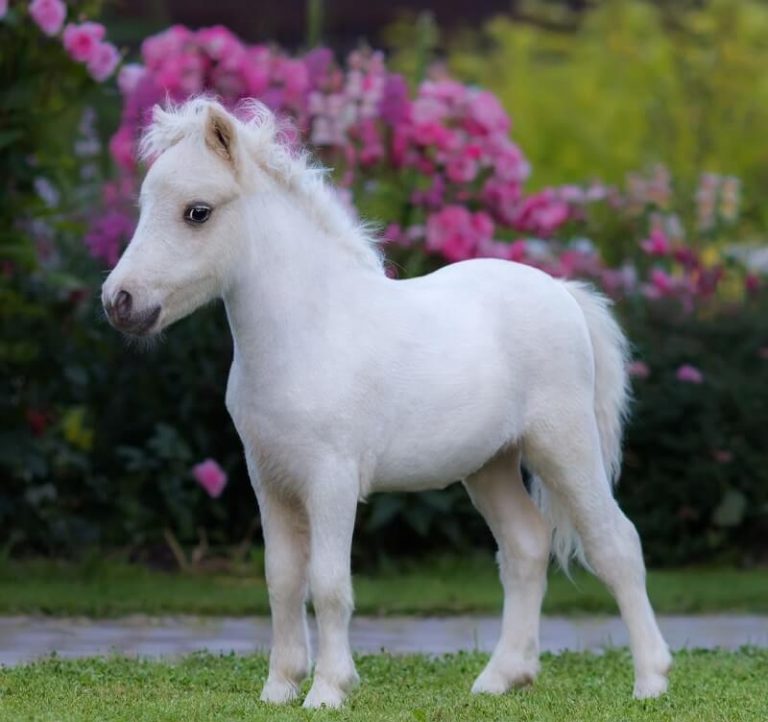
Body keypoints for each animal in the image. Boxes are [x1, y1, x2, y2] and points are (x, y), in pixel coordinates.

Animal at [102, 98, 671, 709]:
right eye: (145, 205)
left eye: (198, 212)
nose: (119, 302)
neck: (308, 333)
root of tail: (562, 292)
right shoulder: (269, 480)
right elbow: (282, 580)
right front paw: (280, 687)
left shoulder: (330, 480)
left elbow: (328, 584)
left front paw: (329, 689)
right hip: (490, 465)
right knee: (525, 547)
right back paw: (501, 678)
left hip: (563, 446)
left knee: (615, 544)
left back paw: (651, 679)